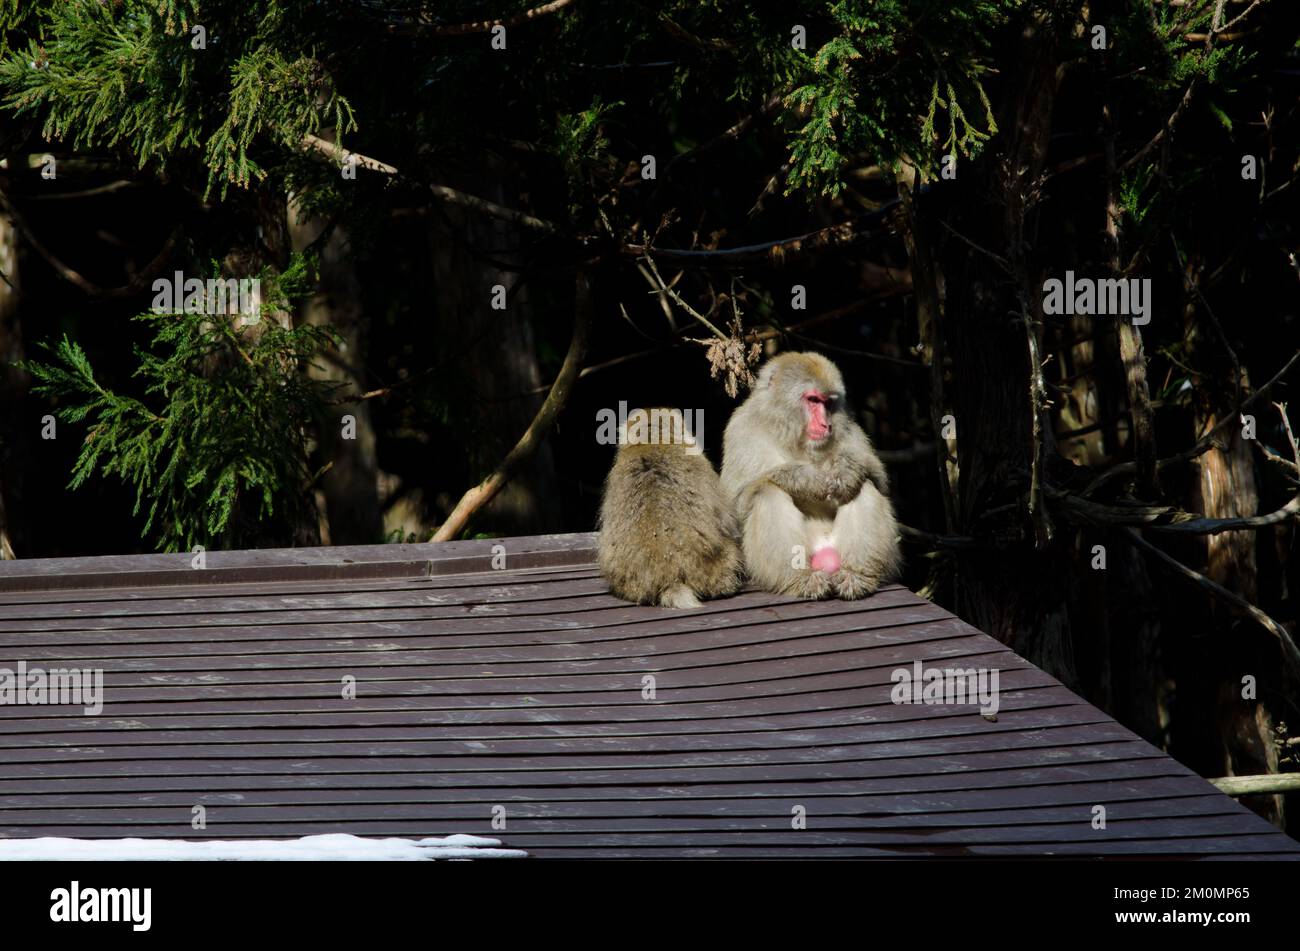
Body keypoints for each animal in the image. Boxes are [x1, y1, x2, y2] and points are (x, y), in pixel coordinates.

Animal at [720, 352, 901, 600]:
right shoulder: (741, 429)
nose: (825, 424)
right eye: (813, 400)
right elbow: (736, 505)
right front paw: (805, 479)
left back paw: (856, 575)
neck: (791, 436)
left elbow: (878, 479)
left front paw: (846, 471)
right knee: (768, 491)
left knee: (863, 487)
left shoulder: (847, 426)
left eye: (828, 403)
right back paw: (800, 579)